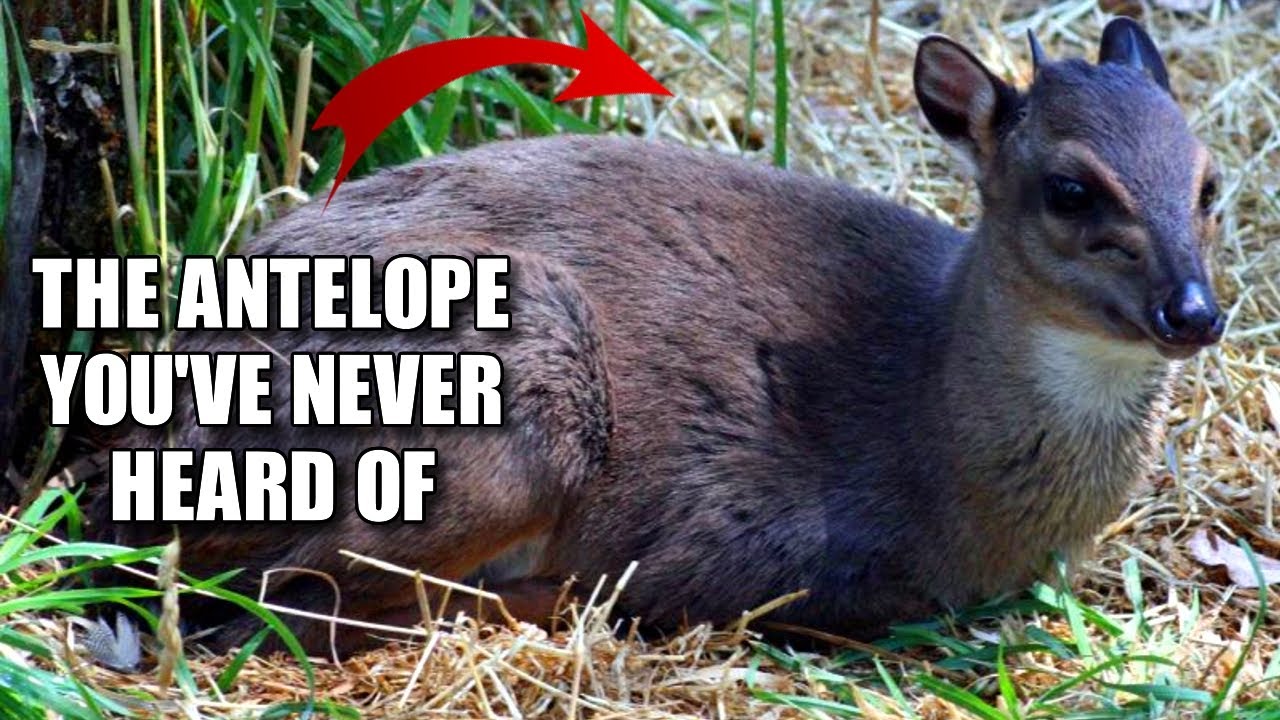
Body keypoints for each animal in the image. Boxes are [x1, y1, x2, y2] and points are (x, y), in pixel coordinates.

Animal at [93, 17, 1223, 654]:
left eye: (1208, 182)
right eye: (1070, 188)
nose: (1194, 312)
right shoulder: (739, 538)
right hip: (515, 381)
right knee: (281, 599)